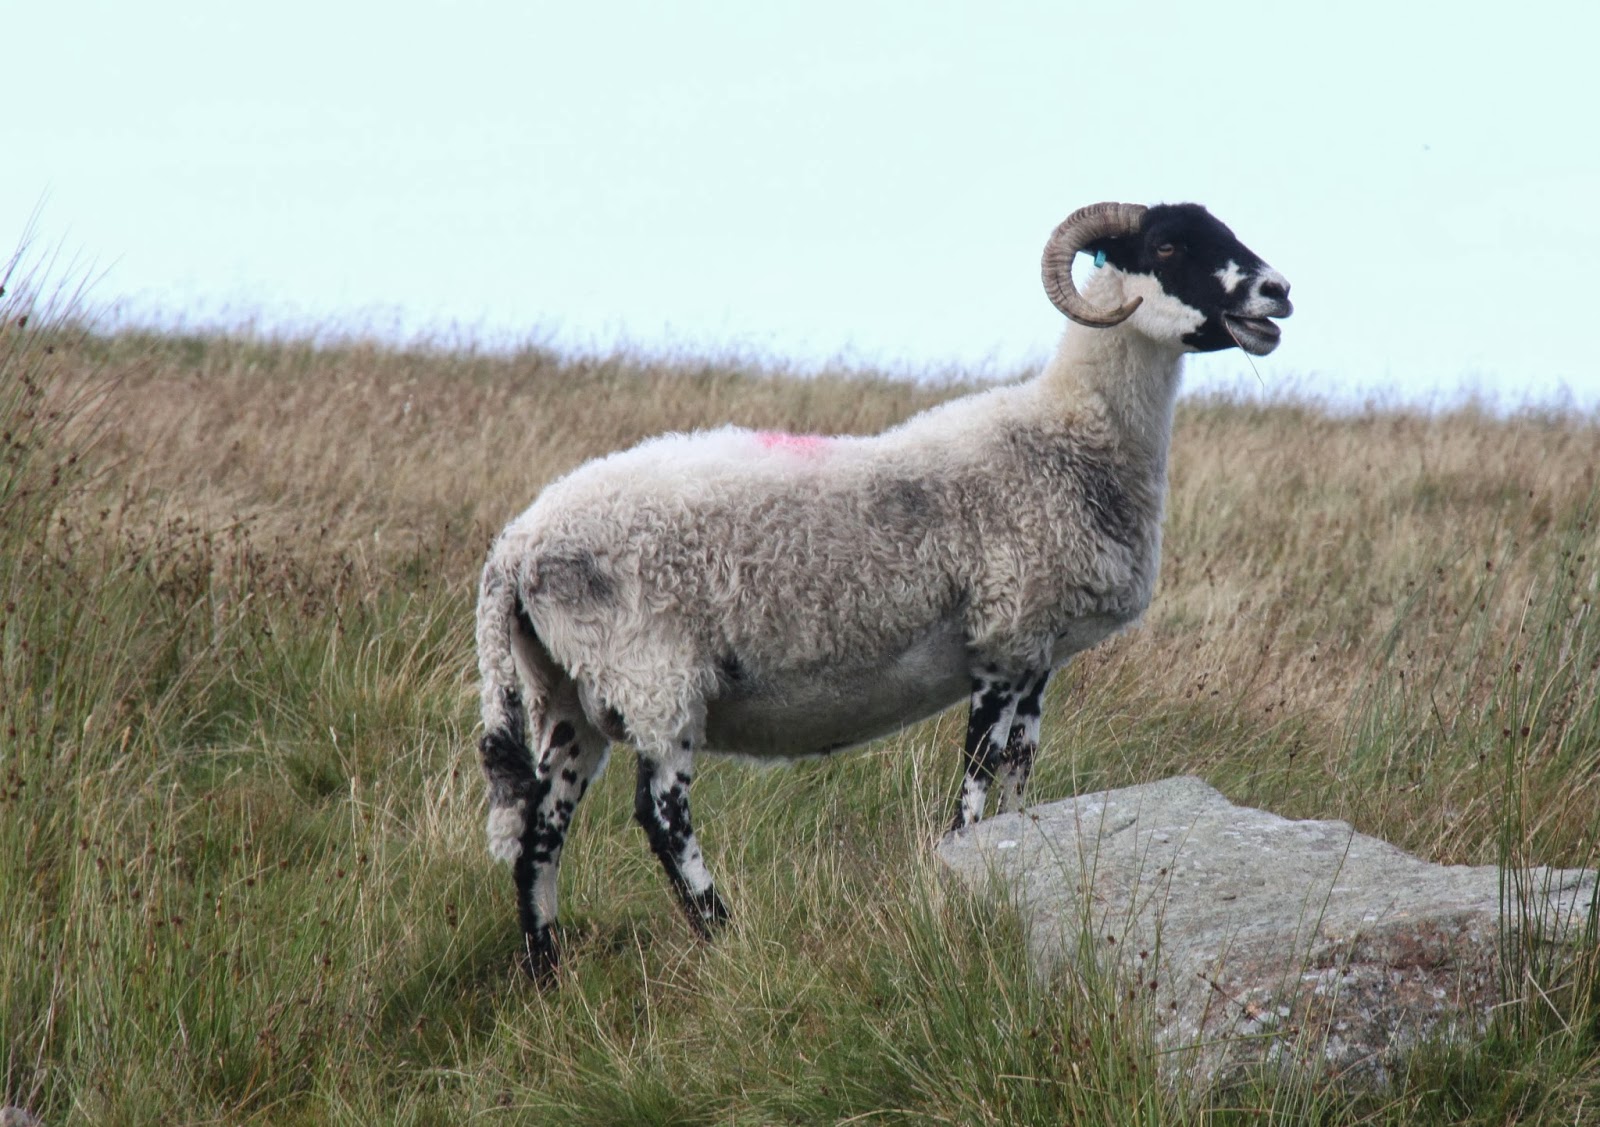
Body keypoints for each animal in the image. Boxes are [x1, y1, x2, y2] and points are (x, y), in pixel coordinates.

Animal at [475, 201, 1293, 976]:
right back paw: (726, 936)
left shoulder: (1038, 655)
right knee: (660, 814)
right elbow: (976, 784)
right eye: (1166, 245)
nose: (1279, 293)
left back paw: (548, 970)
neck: (1070, 435)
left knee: (541, 826)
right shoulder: (1000, 640)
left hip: (567, 691)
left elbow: (1020, 780)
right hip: (651, 672)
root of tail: (514, 549)